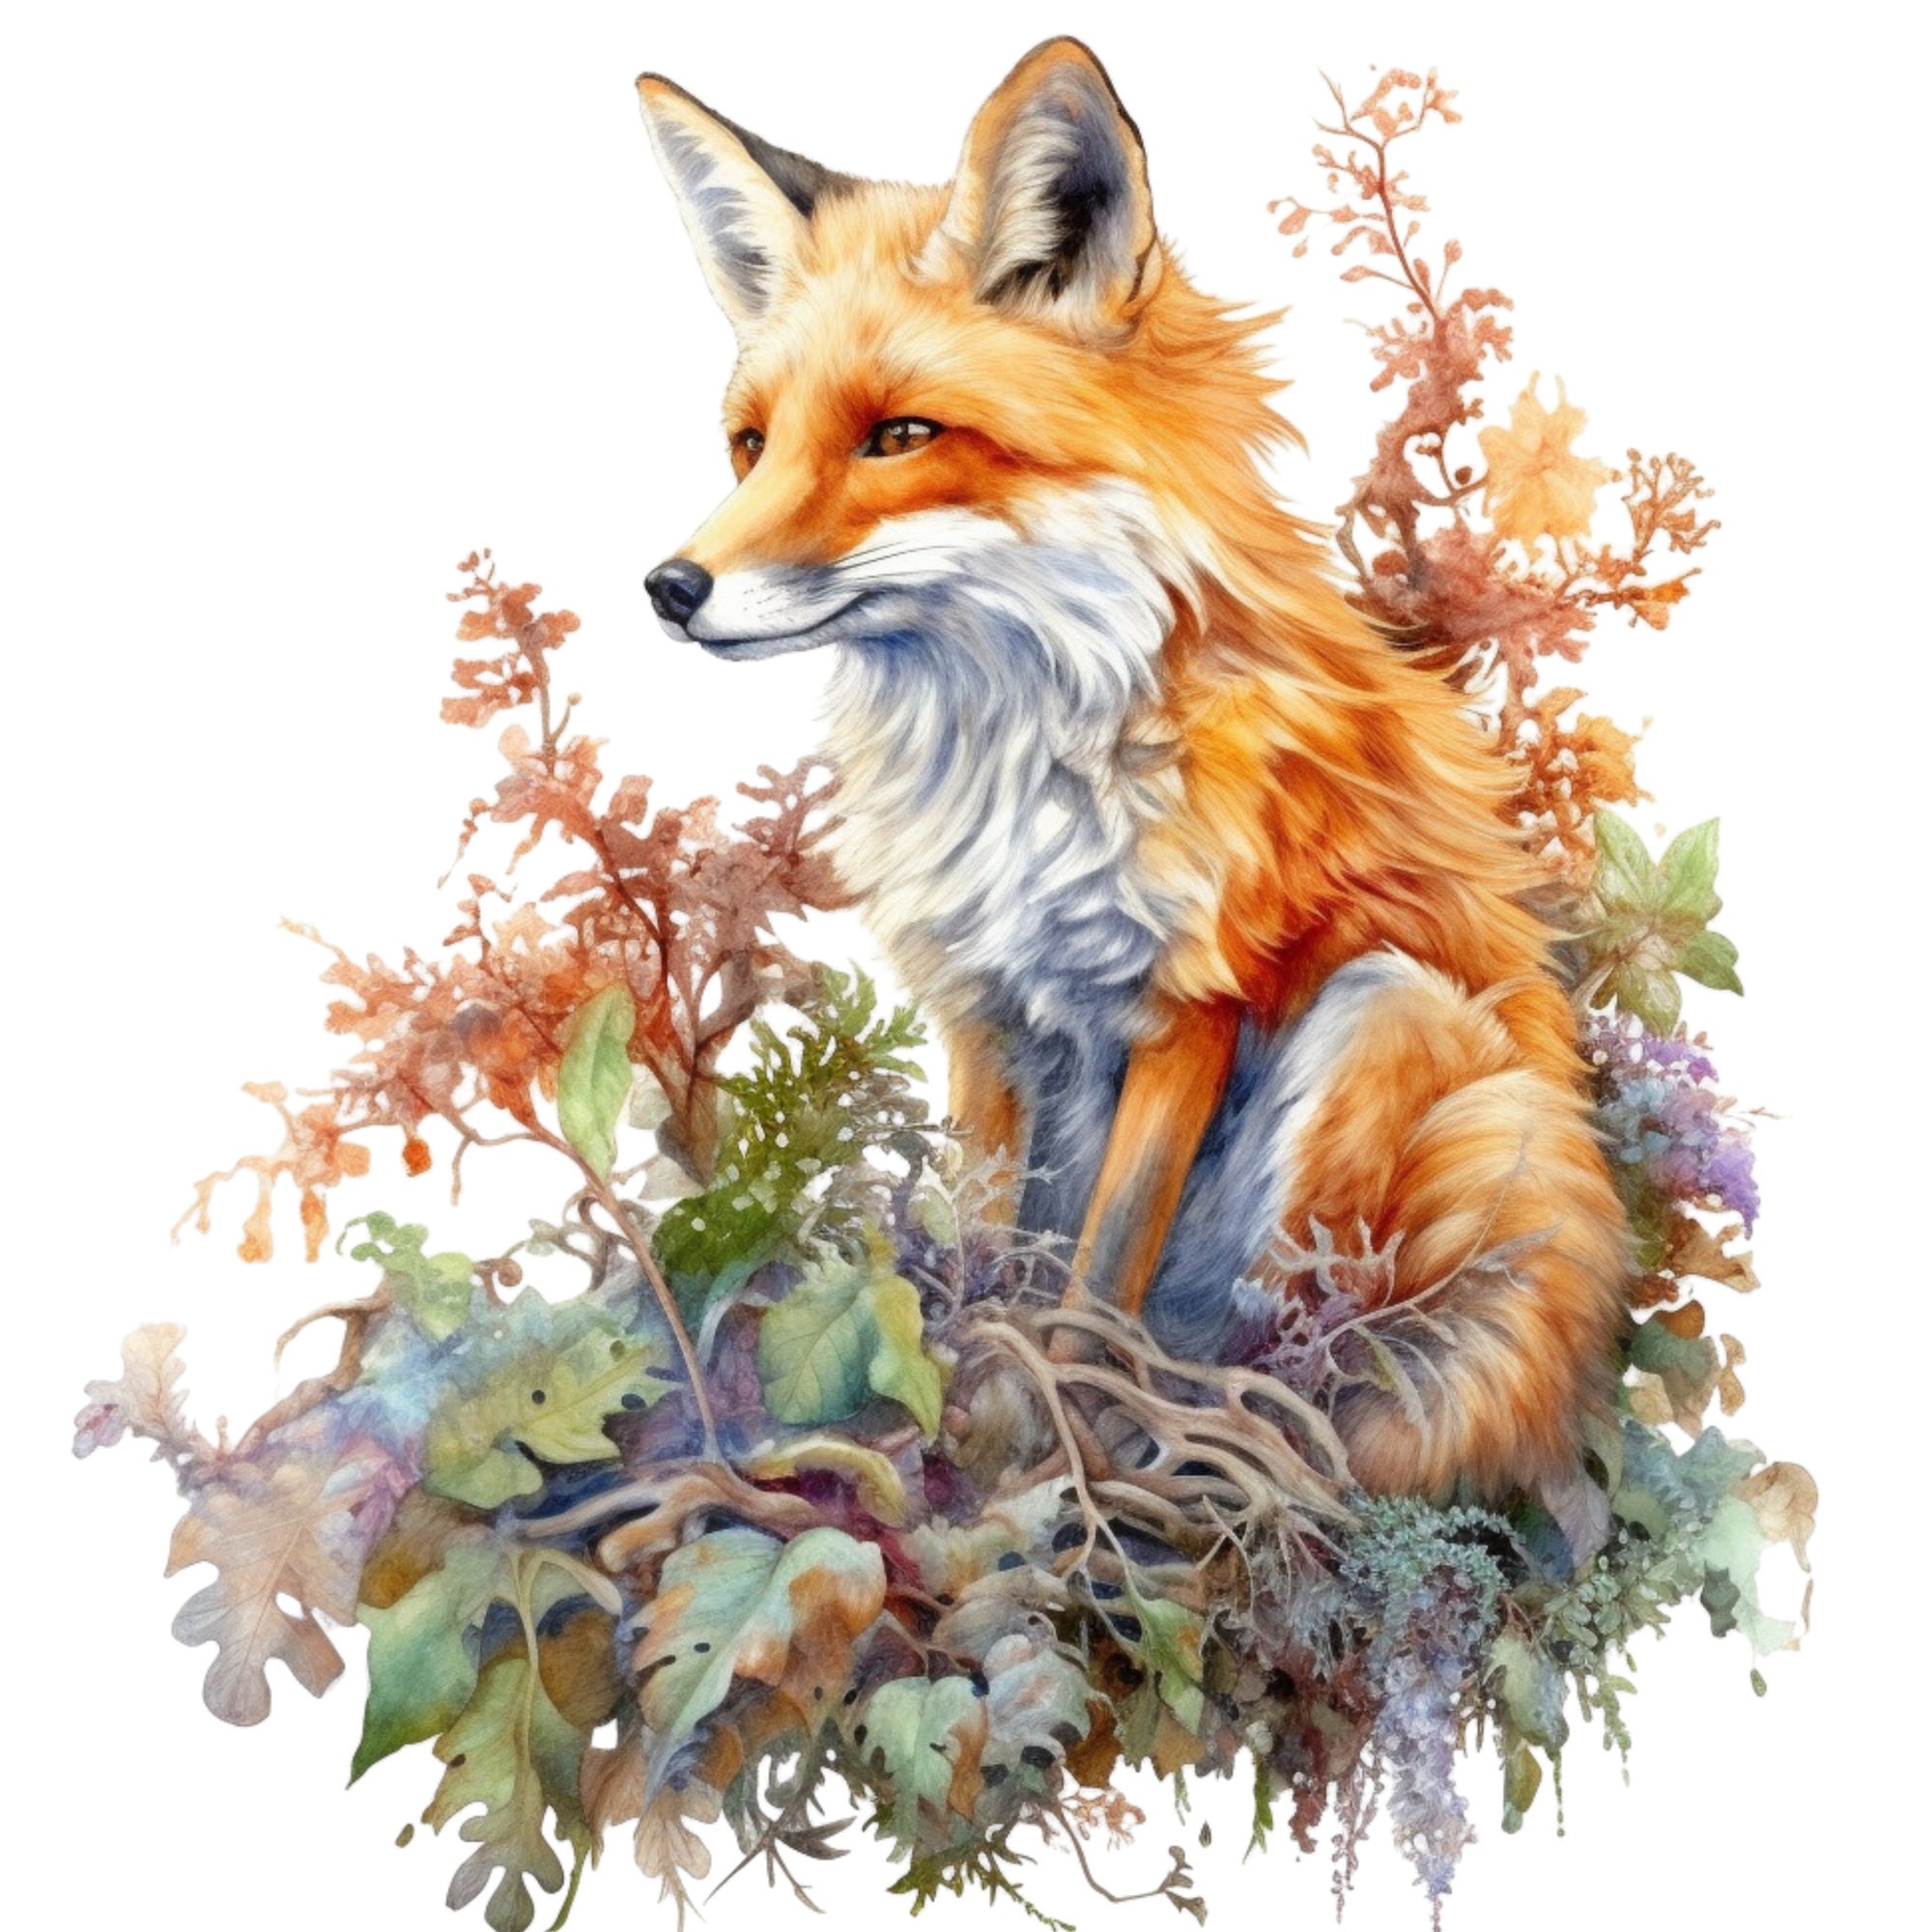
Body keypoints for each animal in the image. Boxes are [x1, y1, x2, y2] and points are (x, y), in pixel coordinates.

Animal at [635, 38, 1631, 1509]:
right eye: (750, 444)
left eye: (898, 436)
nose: (669, 588)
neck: (1021, 760)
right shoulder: (984, 1010)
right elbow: (982, 1254)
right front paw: (961, 1429)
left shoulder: (1189, 1005)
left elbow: (1095, 1282)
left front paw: (1049, 1466)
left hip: (1383, 1021)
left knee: (1305, 1378)